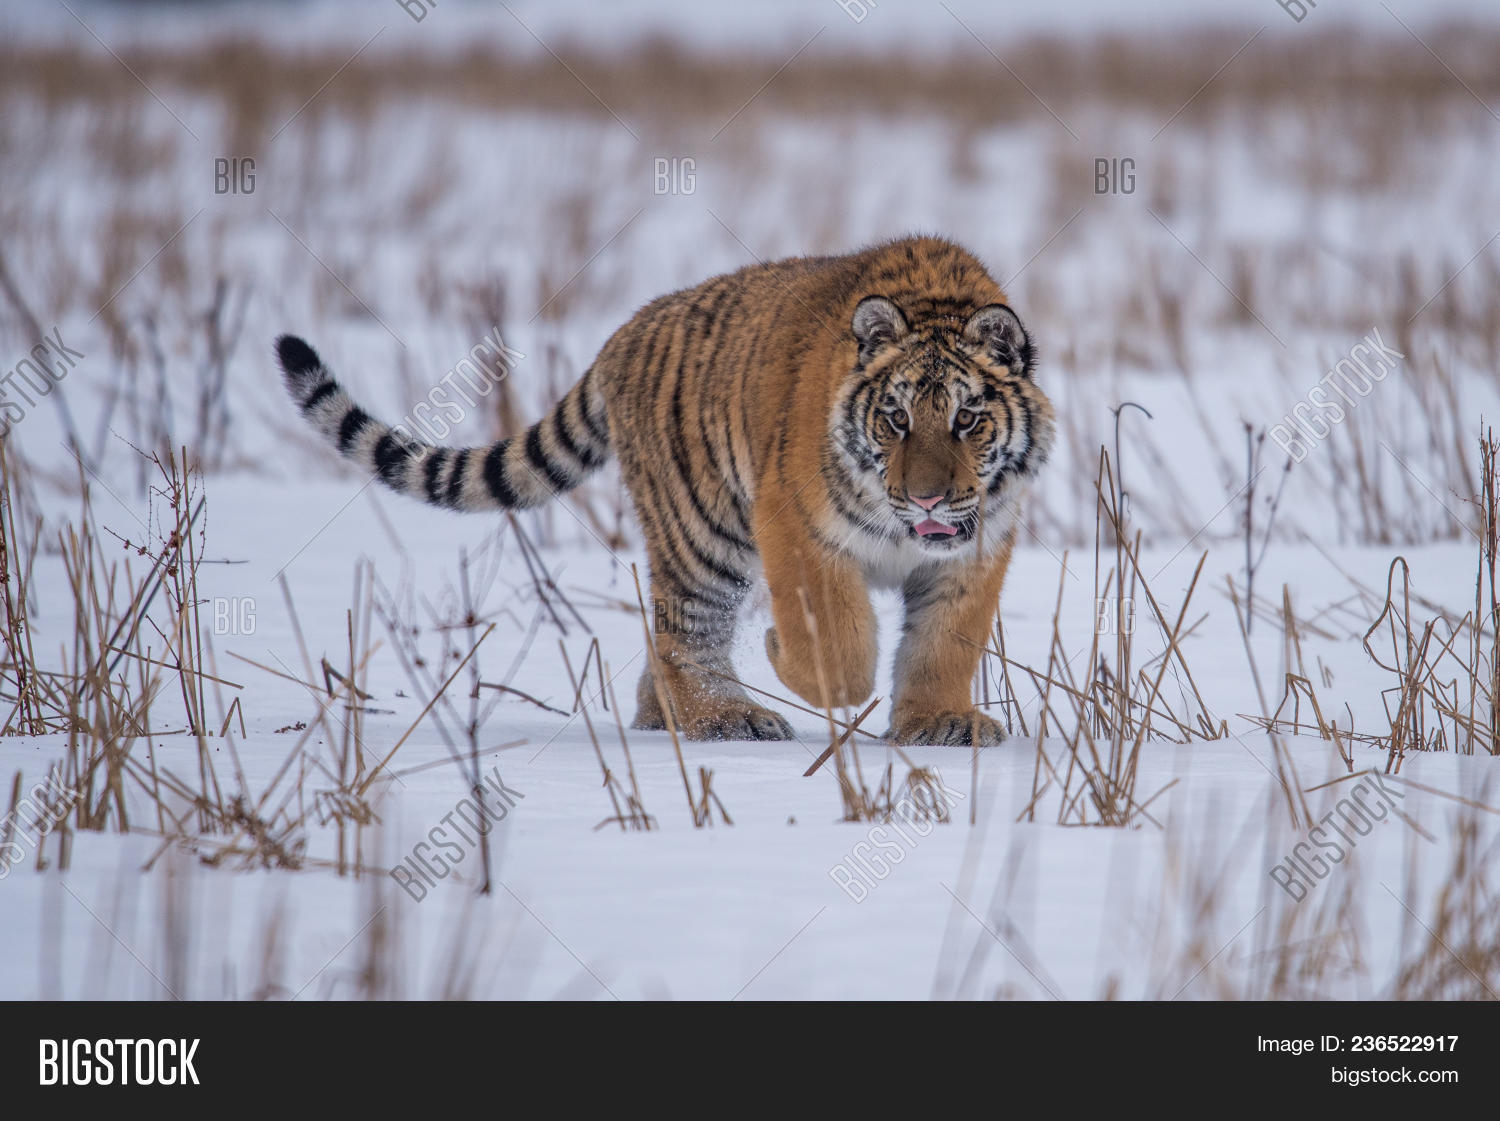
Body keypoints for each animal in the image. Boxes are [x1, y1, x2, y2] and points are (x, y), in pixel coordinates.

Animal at [276, 234, 1055, 746]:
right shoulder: (796, 524)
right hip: (704, 533)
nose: (926, 500)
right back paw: (724, 718)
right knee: (686, 636)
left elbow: (944, 643)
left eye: (966, 419)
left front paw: (938, 722)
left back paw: (665, 716)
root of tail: (626, 330)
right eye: (895, 419)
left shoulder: (977, 549)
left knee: (667, 642)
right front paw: (786, 652)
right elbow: (837, 642)